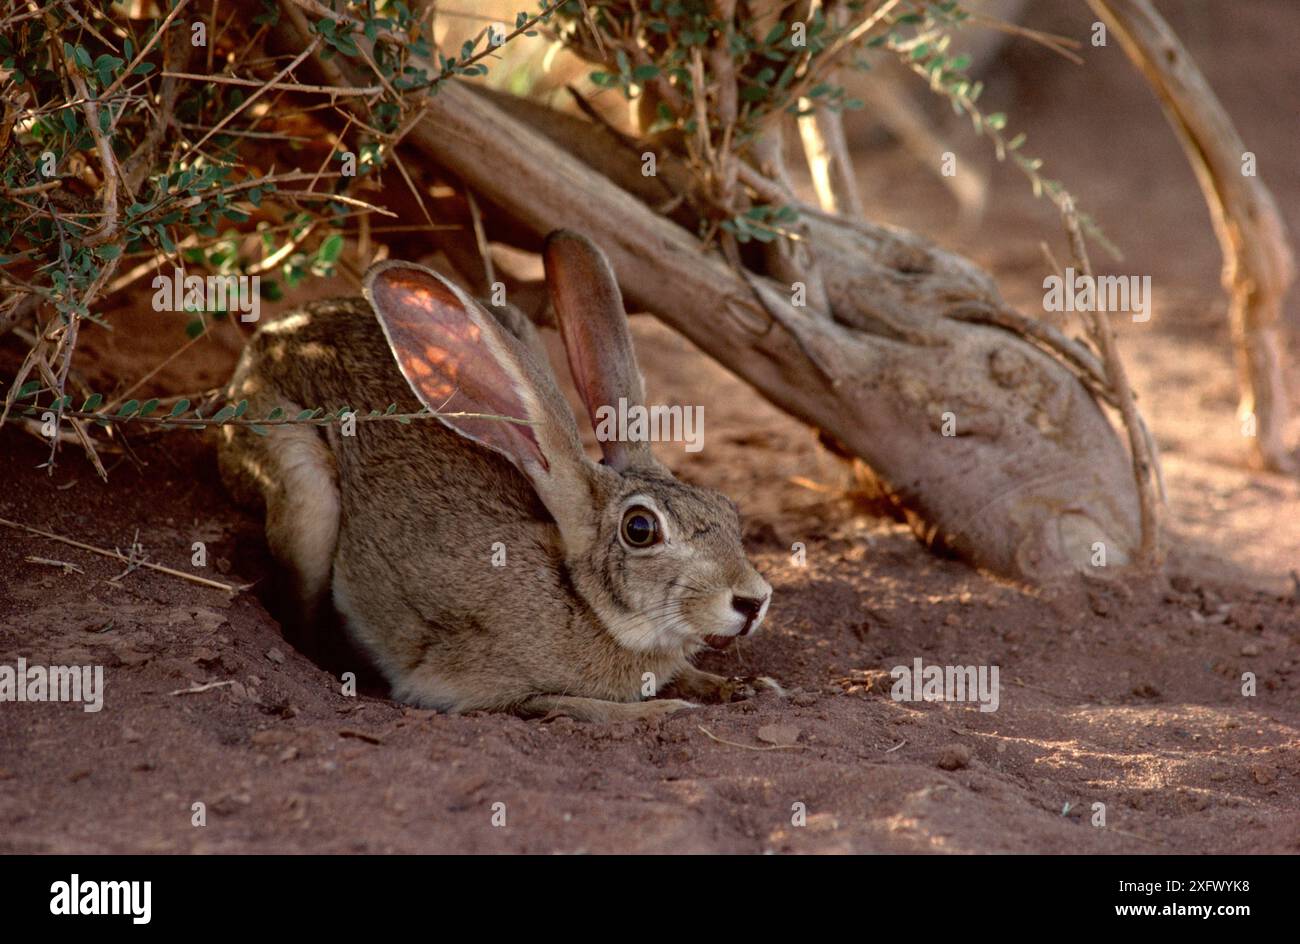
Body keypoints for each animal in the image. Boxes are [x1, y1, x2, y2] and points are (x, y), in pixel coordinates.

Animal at [218, 230, 781, 721]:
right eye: (640, 530)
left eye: (727, 507)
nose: (754, 601)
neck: (585, 603)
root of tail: (260, 347)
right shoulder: (469, 688)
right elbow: (567, 704)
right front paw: (664, 710)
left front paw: (742, 687)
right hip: (306, 491)